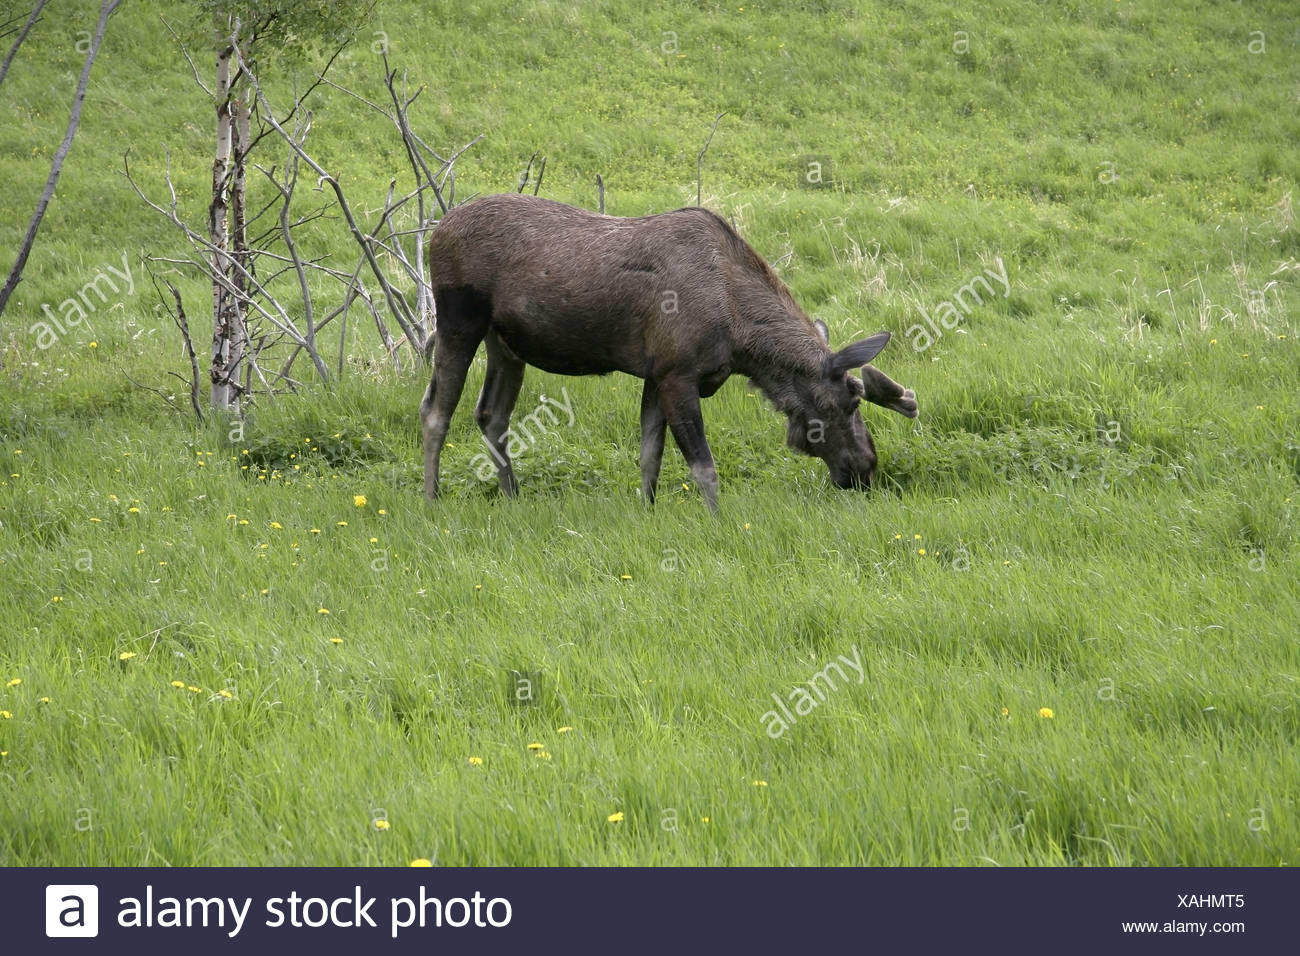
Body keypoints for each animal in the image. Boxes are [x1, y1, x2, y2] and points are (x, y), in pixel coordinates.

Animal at [420, 193, 917, 511]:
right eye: (849, 401)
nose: (866, 468)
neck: (741, 338)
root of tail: (433, 233)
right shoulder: (677, 372)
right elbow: (703, 466)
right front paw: (719, 520)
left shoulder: (654, 373)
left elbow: (649, 457)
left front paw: (648, 511)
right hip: (458, 320)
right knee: (436, 410)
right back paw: (431, 500)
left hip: (506, 344)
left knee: (492, 415)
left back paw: (512, 497)